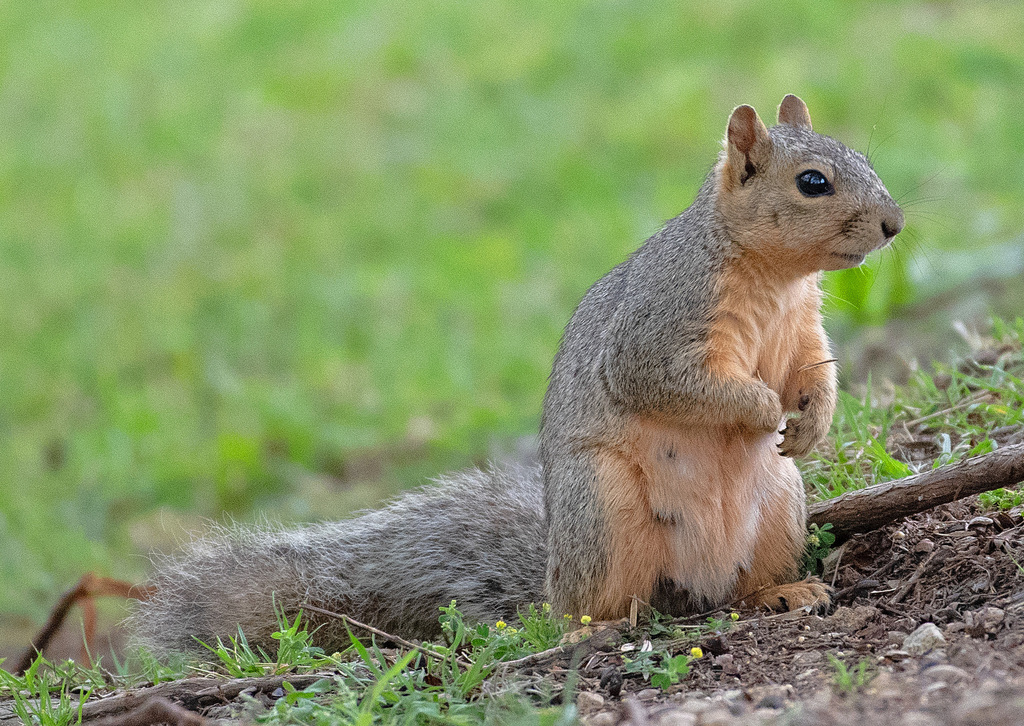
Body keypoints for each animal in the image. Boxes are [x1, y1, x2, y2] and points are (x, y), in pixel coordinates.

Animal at [129, 95, 903, 657]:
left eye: (865, 158)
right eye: (812, 183)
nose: (895, 224)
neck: (774, 278)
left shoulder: (803, 328)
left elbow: (815, 370)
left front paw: (814, 416)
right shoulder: (661, 326)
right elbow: (675, 382)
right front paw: (762, 407)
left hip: (778, 503)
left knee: (737, 593)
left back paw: (782, 594)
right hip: (603, 514)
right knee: (596, 607)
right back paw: (595, 627)